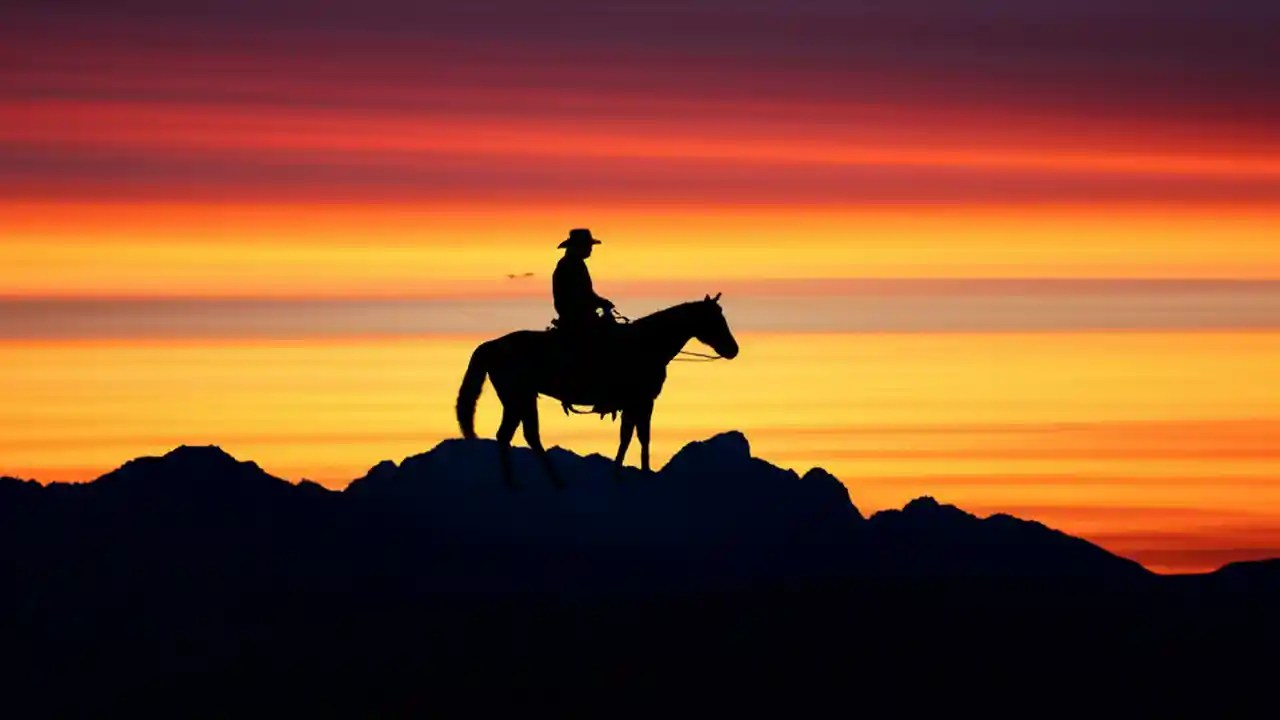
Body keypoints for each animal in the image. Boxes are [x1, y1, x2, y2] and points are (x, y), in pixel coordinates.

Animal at [455, 293, 739, 487]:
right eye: (715, 320)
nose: (733, 350)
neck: (646, 344)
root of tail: (492, 345)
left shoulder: (634, 404)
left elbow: (630, 437)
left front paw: (624, 474)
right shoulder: (642, 401)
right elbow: (639, 438)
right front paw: (639, 474)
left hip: (519, 399)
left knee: (514, 436)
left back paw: (529, 482)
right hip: (518, 398)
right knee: (519, 435)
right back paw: (542, 482)